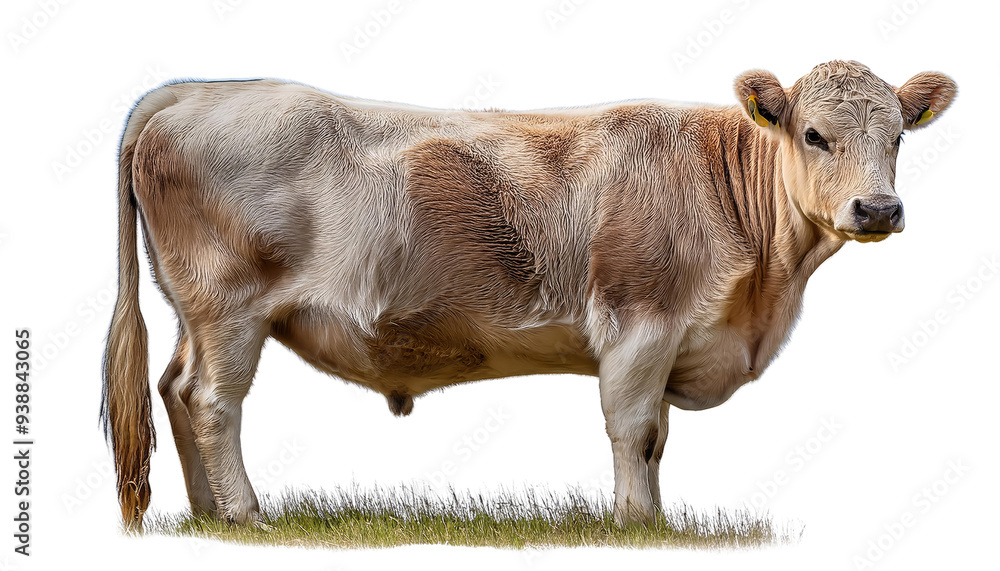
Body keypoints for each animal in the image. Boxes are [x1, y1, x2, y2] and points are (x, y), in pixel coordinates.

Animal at [101, 60, 955, 530]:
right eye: (814, 134)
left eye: (898, 136)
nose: (878, 209)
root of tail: (194, 92)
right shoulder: (640, 323)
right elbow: (636, 431)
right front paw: (639, 525)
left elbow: (658, 439)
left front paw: (654, 519)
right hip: (229, 307)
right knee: (213, 400)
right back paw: (246, 512)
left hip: (194, 312)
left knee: (174, 388)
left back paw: (209, 515)